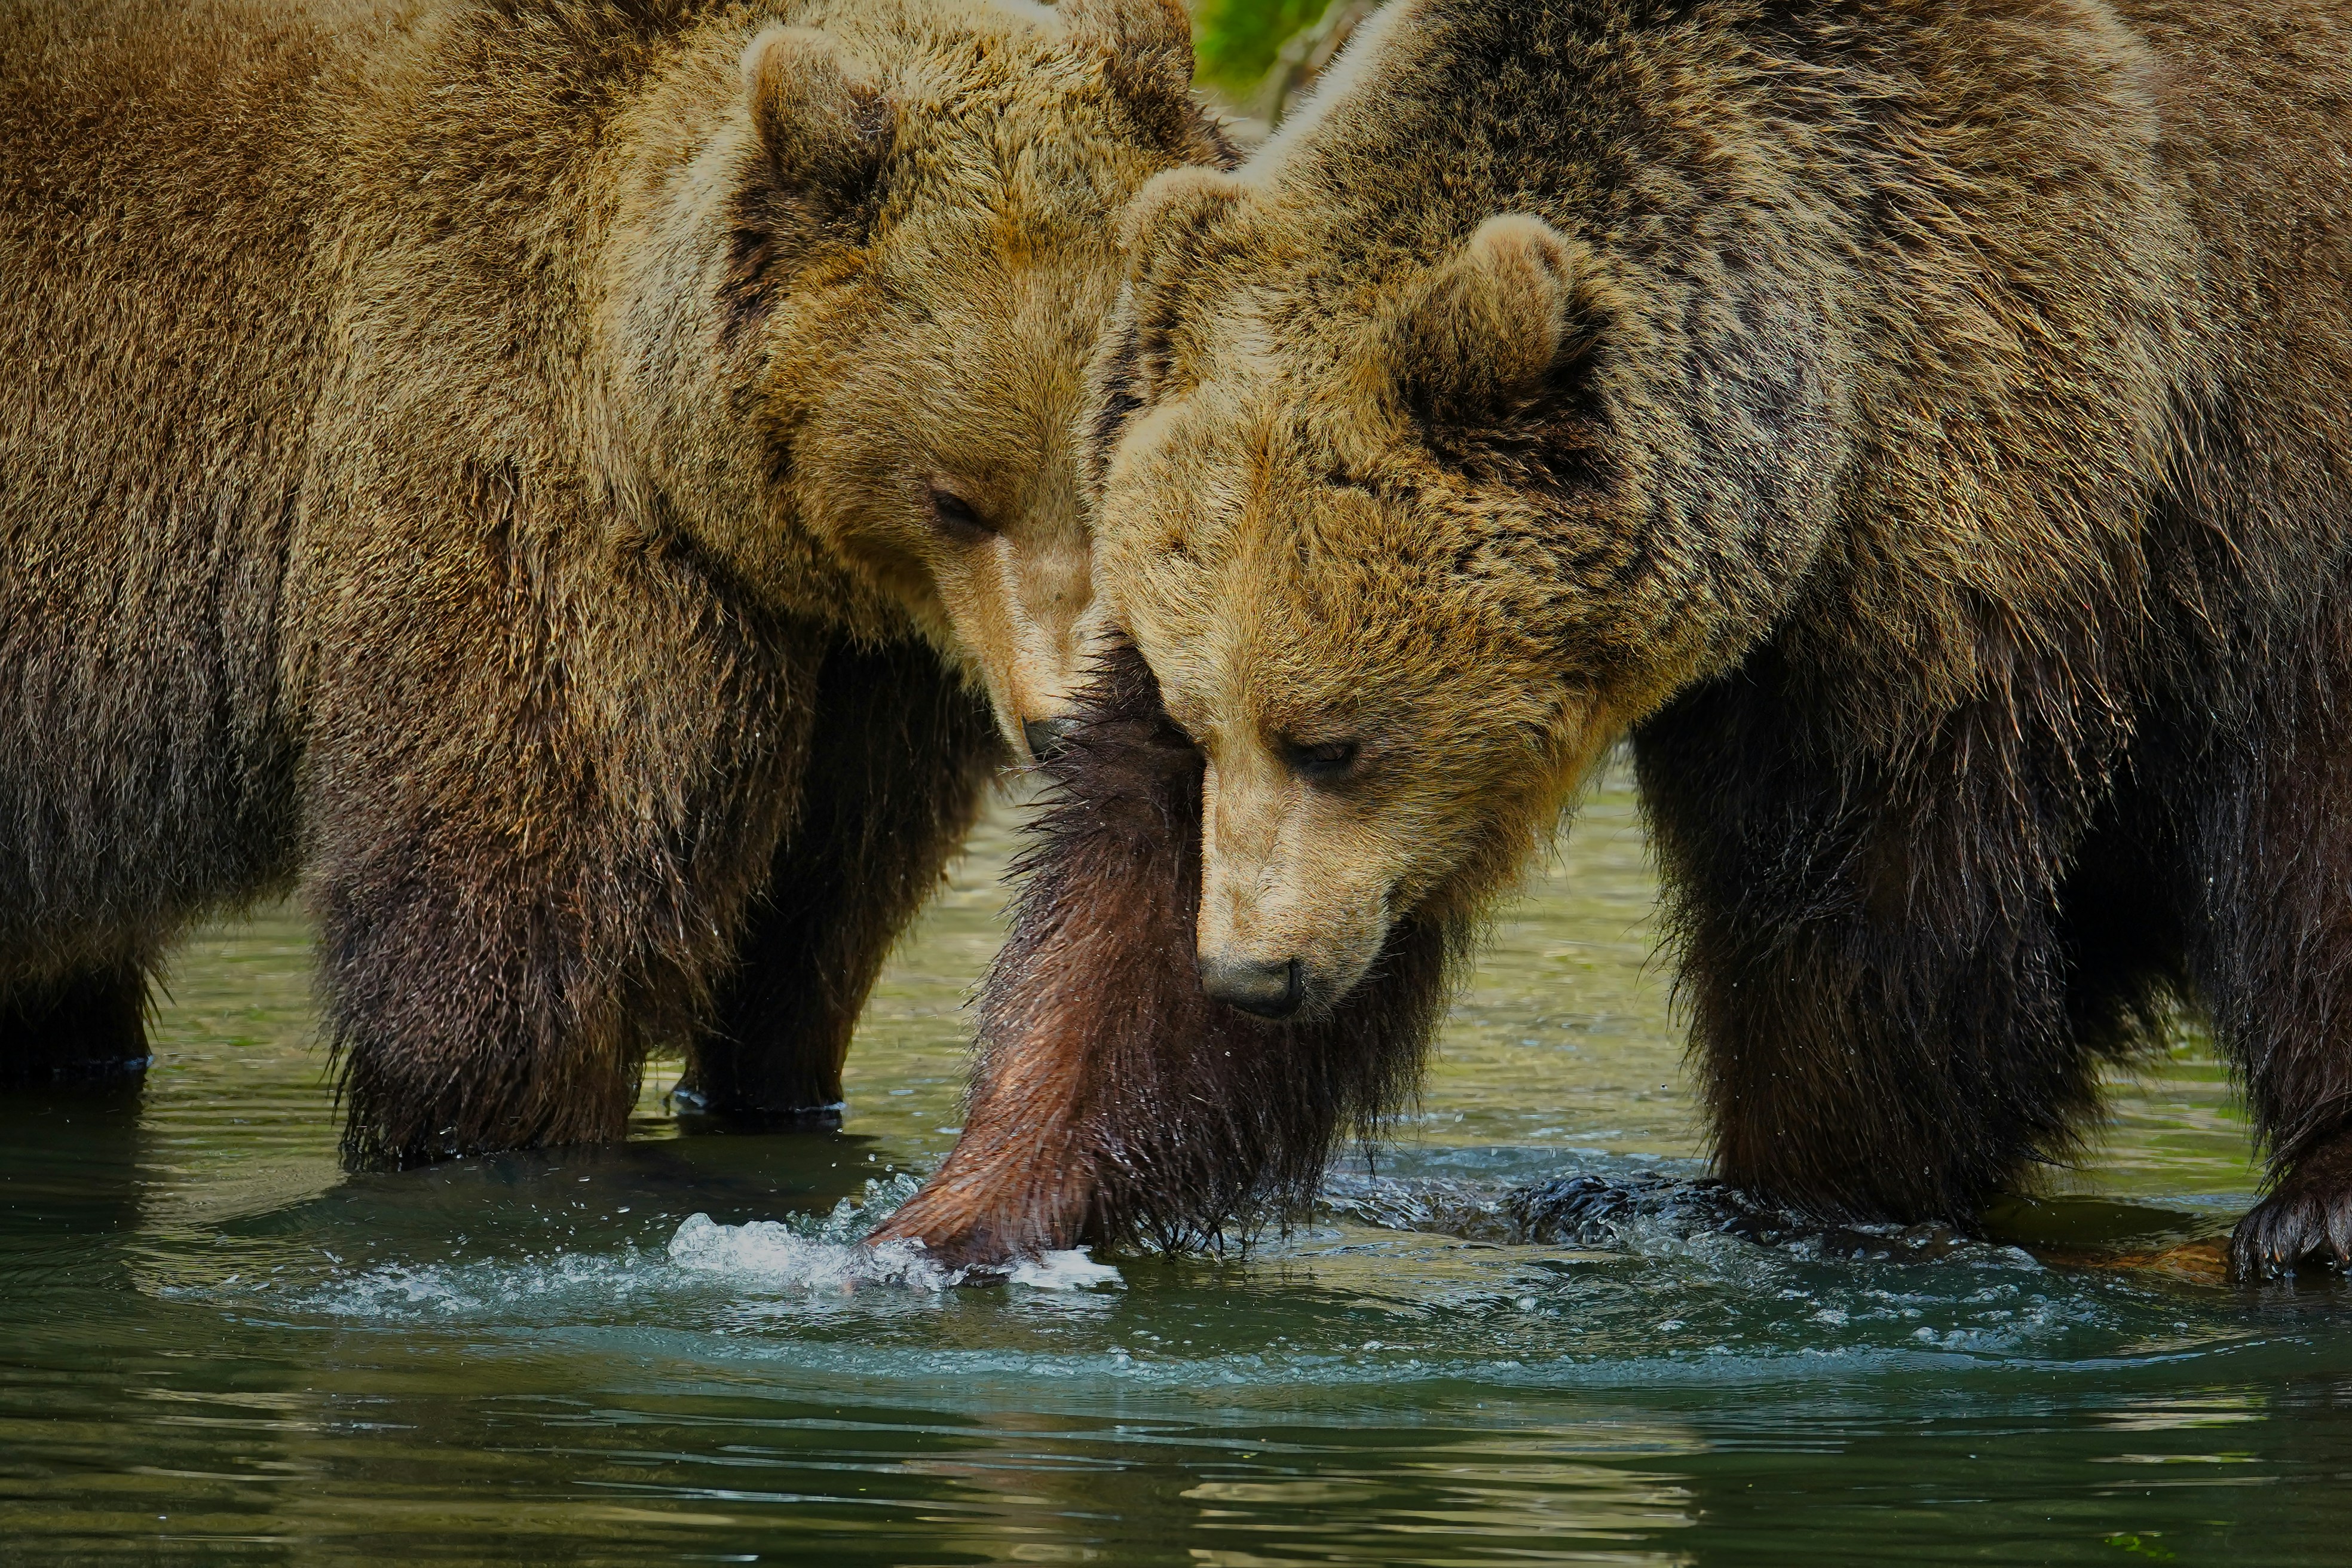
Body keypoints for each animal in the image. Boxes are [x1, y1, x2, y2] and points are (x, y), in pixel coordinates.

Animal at [0, 0, 1228, 1164]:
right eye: (955, 496)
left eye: (1118, 468)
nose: (1064, 721)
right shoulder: (519, 492)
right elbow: (521, 914)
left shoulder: (877, 670)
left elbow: (814, 919)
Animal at [874, 0, 2352, 1282]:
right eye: (1207, 722)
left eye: (1333, 742)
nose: (1254, 970)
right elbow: (1121, 899)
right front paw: (969, 1210)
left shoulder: (1984, 480)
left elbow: (1868, 920)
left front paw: (1802, 1195)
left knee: (2297, 800)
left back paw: (2310, 1208)